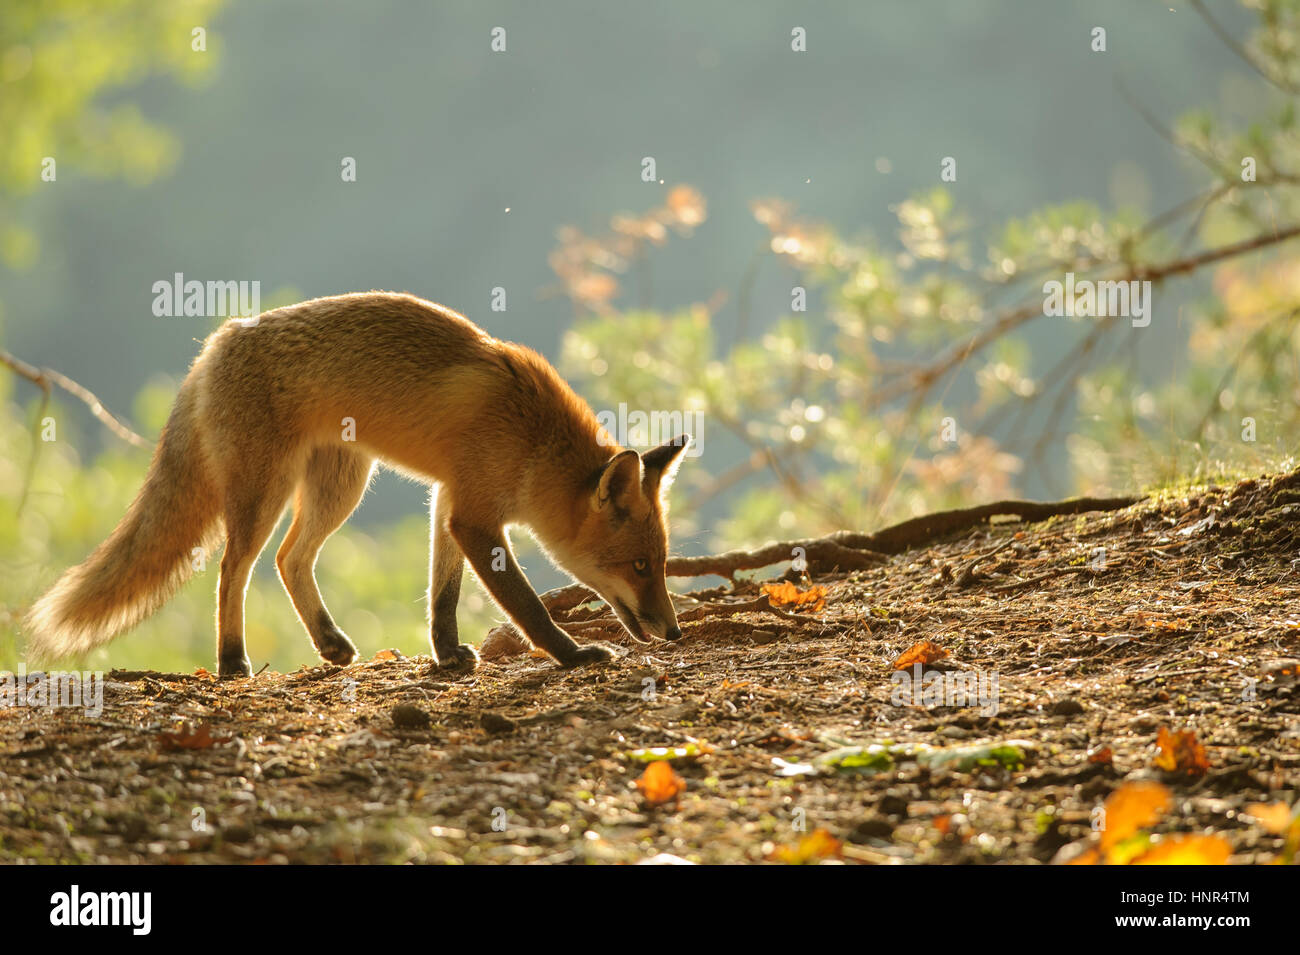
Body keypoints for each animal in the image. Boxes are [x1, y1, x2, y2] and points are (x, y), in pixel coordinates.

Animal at [25, 292, 691, 678]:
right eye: (638, 566)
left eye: (661, 564)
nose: (674, 631)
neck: (533, 440)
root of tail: (218, 340)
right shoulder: (475, 515)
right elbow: (526, 606)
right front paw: (573, 655)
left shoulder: (448, 501)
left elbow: (442, 594)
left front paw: (447, 655)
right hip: (265, 492)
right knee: (234, 569)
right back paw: (231, 660)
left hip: (340, 486)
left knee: (290, 560)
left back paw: (329, 643)